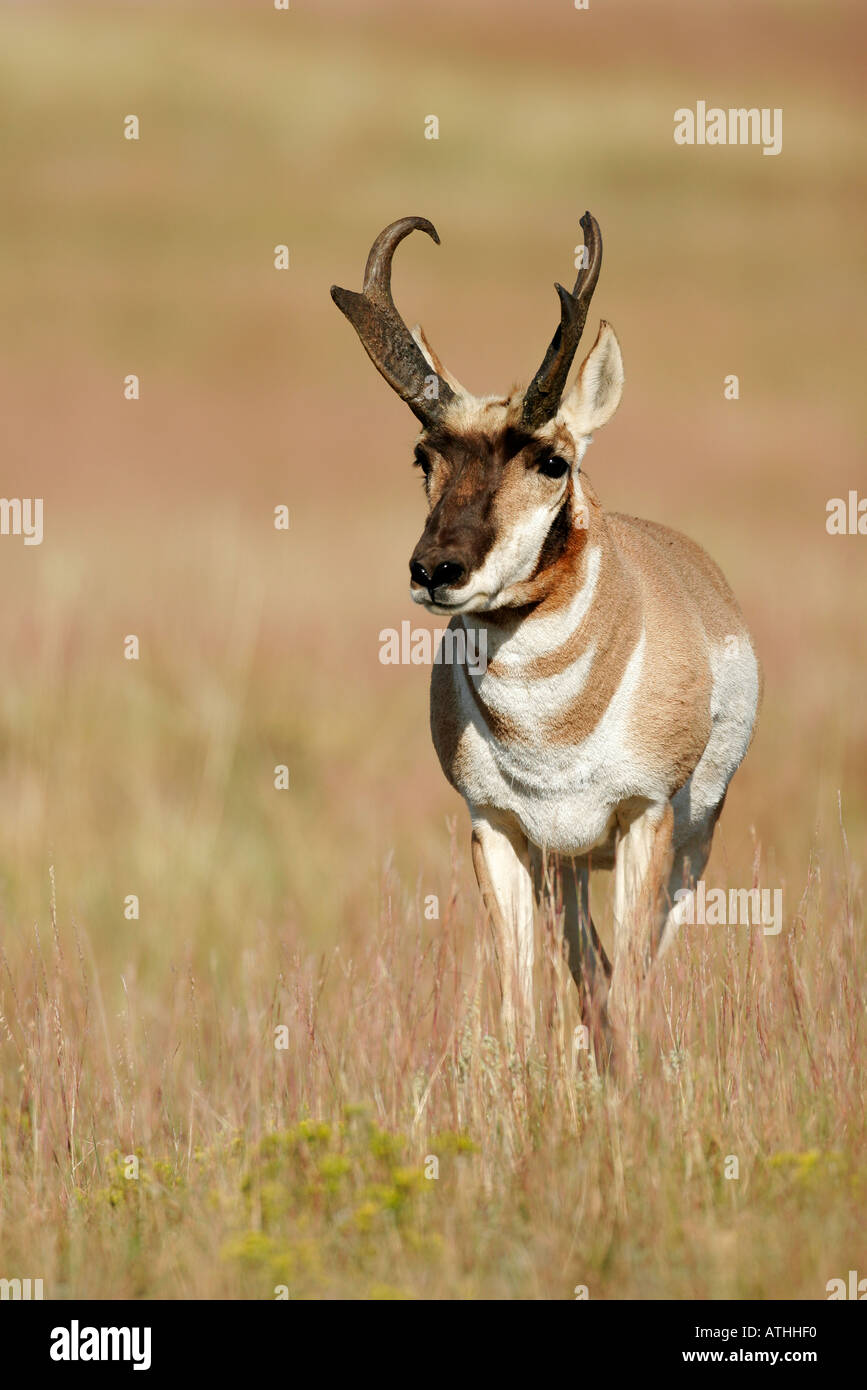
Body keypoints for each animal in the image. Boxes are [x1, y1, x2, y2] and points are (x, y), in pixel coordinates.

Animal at [331, 213, 761, 1061]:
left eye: (550, 459)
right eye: (423, 456)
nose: (436, 570)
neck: (549, 731)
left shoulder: (645, 819)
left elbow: (629, 993)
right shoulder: (496, 828)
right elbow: (518, 1006)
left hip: (684, 849)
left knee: (633, 973)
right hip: (561, 865)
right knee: (586, 971)